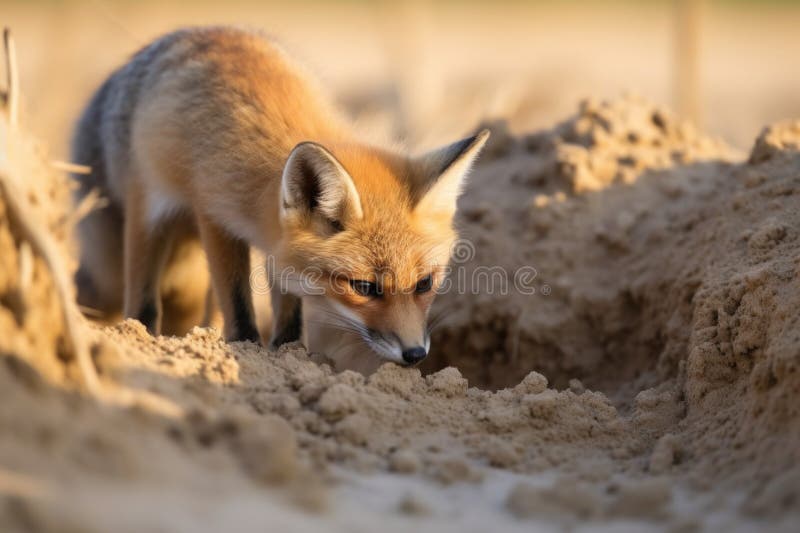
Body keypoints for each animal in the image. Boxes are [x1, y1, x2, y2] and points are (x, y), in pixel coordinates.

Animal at [72, 26, 488, 372]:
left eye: (424, 284)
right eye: (365, 288)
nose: (415, 354)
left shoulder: (278, 244)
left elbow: (289, 308)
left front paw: (287, 351)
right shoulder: (214, 214)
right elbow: (237, 299)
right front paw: (245, 346)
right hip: (141, 223)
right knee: (137, 294)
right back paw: (135, 334)